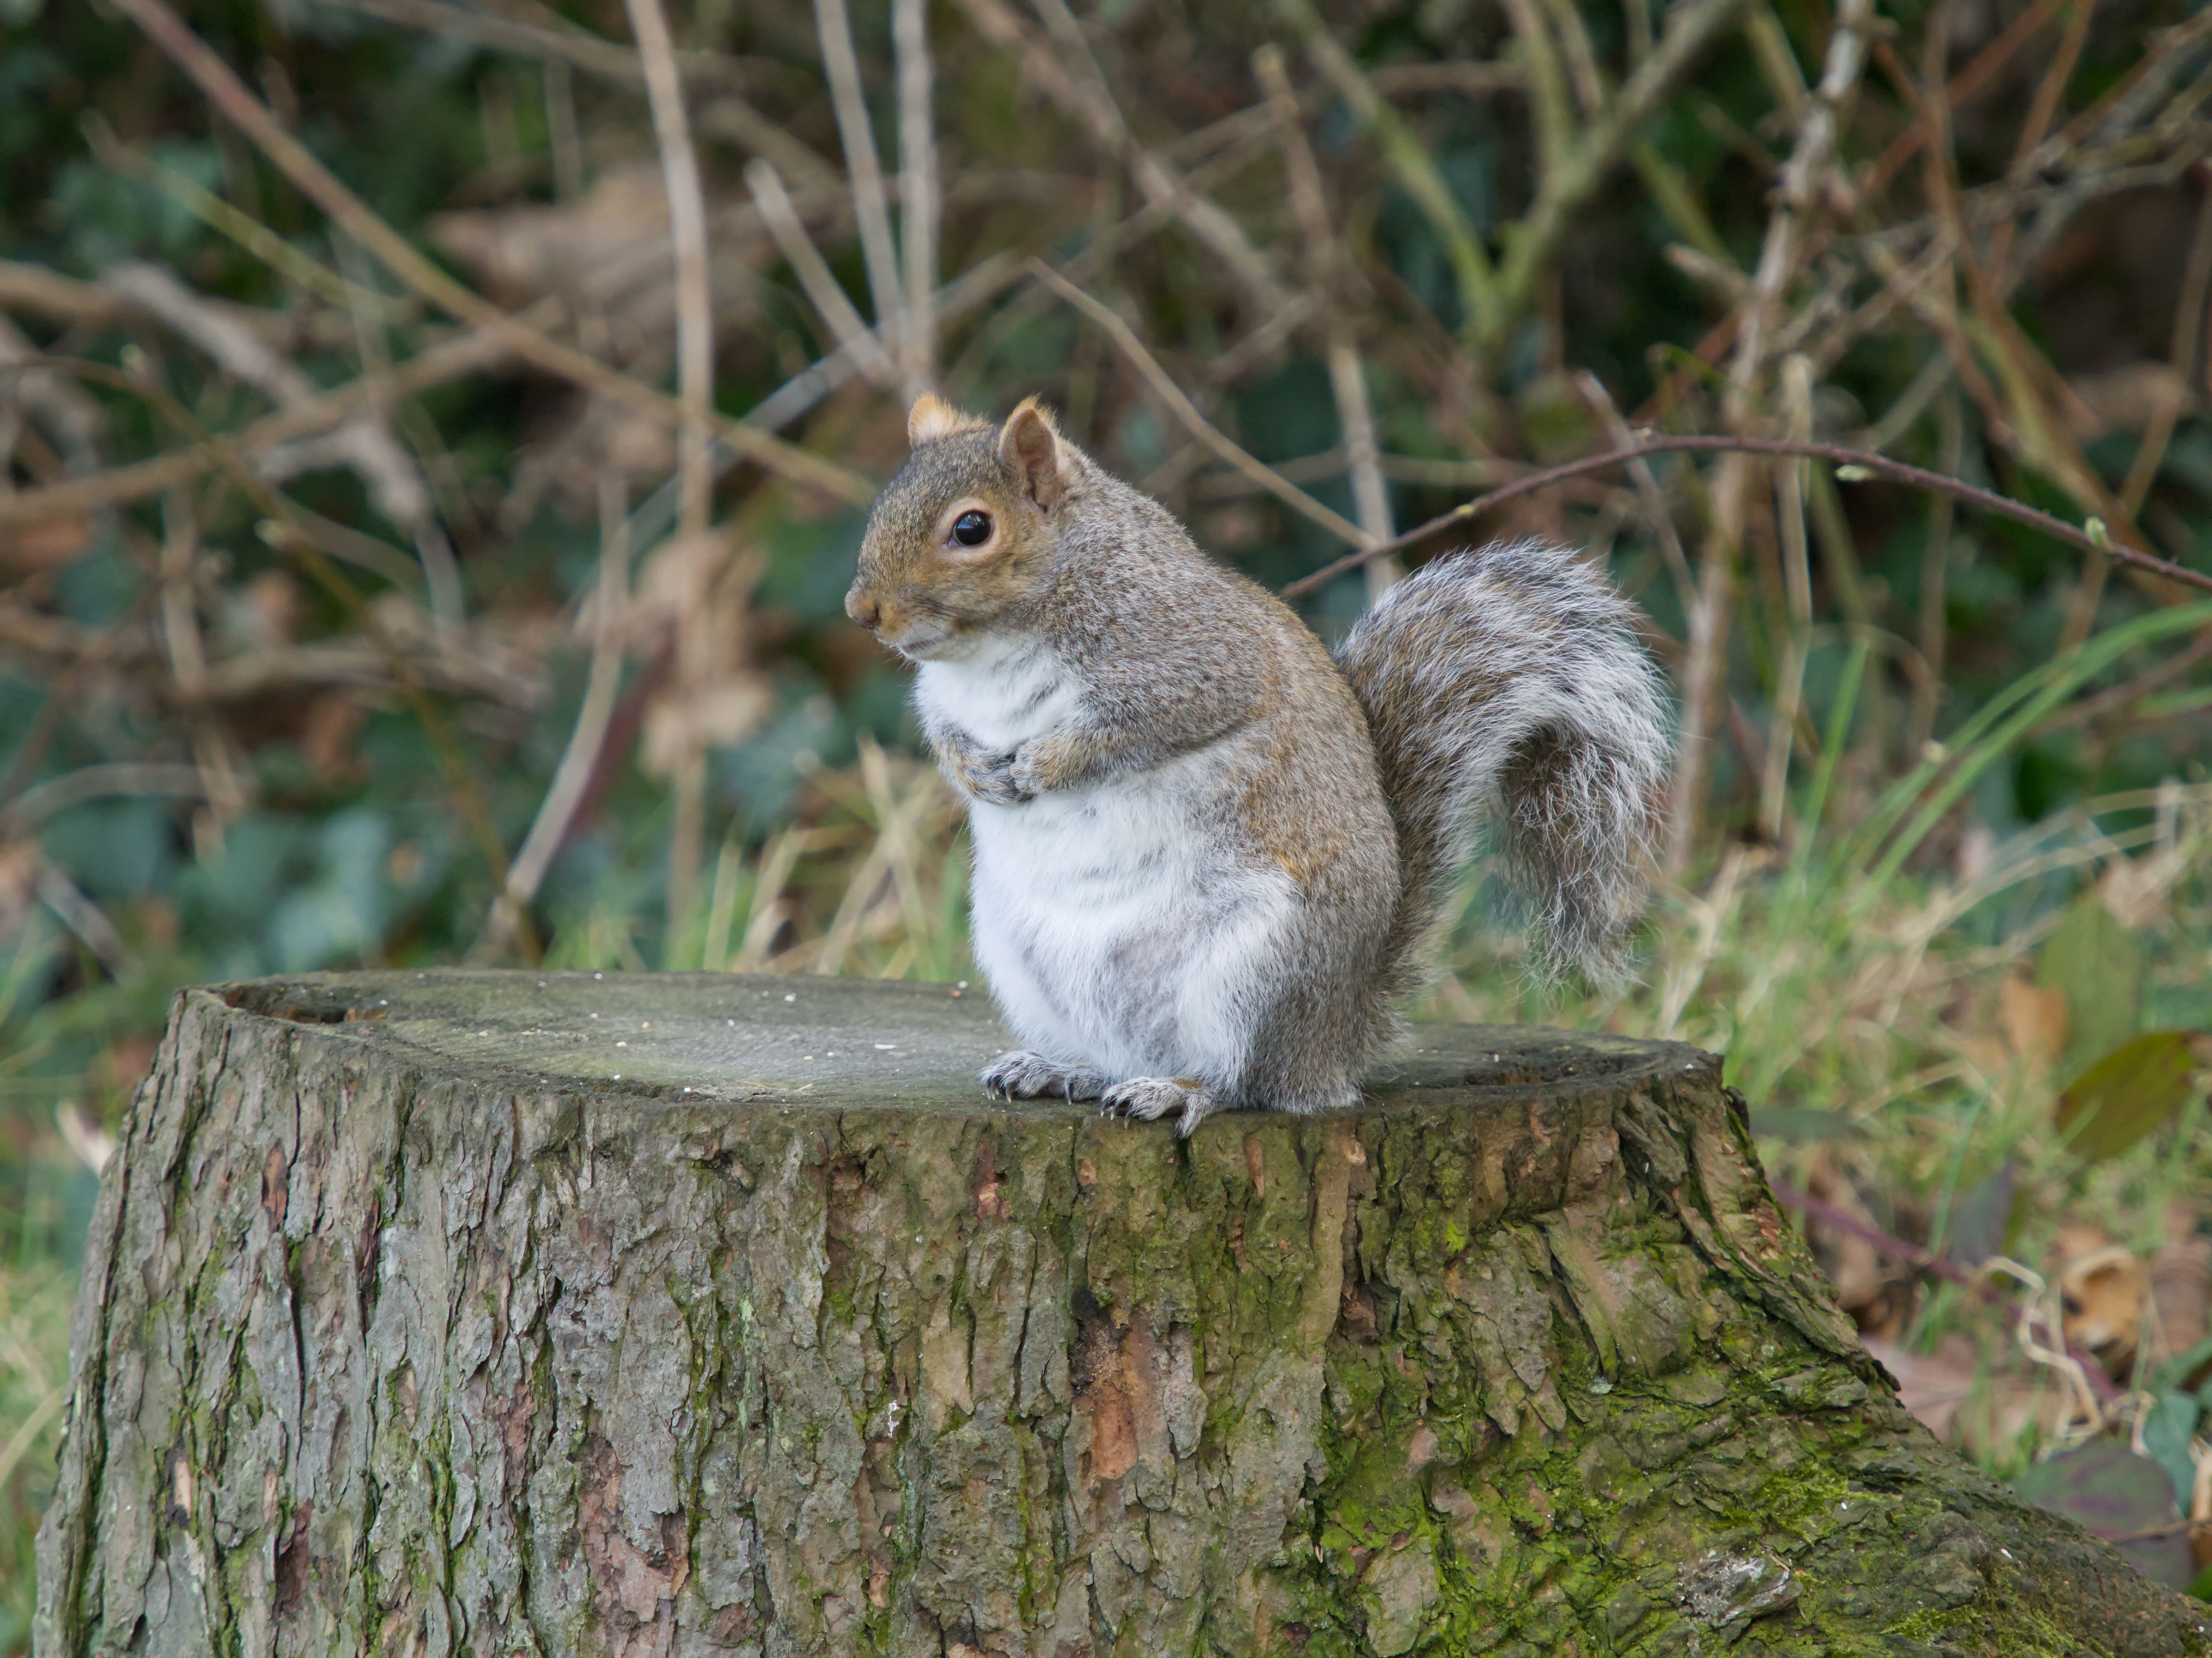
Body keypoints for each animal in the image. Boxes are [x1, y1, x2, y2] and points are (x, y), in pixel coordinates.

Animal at [845, 393, 1673, 1135]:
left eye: (972, 528)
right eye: (882, 505)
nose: (862, 613)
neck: (993, 648)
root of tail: (1337, 1041)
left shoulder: (1196, 662)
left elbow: (1135, 729)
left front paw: (1045, 765)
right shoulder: (943, 699)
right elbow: (945, 737)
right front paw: (978, 775)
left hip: (1260, 972)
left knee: (1252, 1083)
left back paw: (1179, 1091)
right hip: (1022, 960)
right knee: (1118, 1056)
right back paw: (1059, 1068)